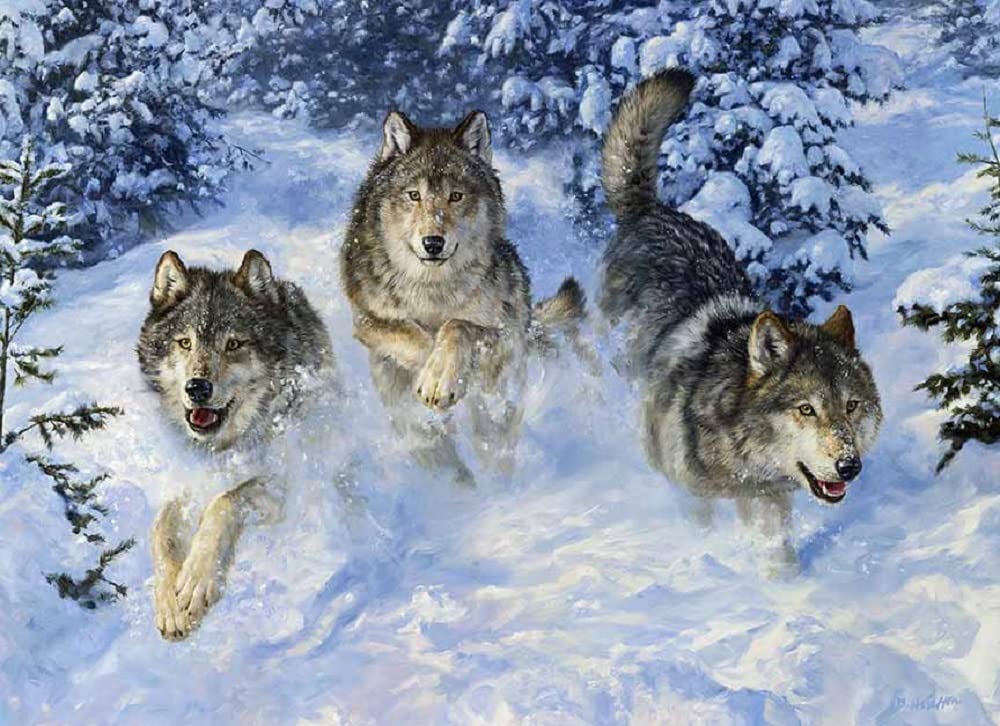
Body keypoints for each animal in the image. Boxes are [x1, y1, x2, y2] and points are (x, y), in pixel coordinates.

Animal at [137, 249, 333, 639]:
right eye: (185, 343)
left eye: (233, 344)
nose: (197, 388)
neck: (224, 448)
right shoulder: (188, 482)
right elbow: (160, 531)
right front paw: (169, 602)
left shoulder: (281, 483)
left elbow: (224, 502)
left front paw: (196, 580)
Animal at [341, 108, 584, 481]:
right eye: (414, 195)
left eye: (455, 196)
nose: (433, 242)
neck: (432, 288)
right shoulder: (368, 322)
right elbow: (415, 335)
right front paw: (432, 374)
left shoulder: (506, 334)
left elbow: (457, 326)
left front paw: (440, 377)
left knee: (494, 447)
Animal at [599, 70, 883, 570]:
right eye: (806, 409)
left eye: (851, 406)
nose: (849, 466)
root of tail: (651, 211)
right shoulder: (690, 495)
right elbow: (702, 530)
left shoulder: (766, 496)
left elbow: (776, 552)